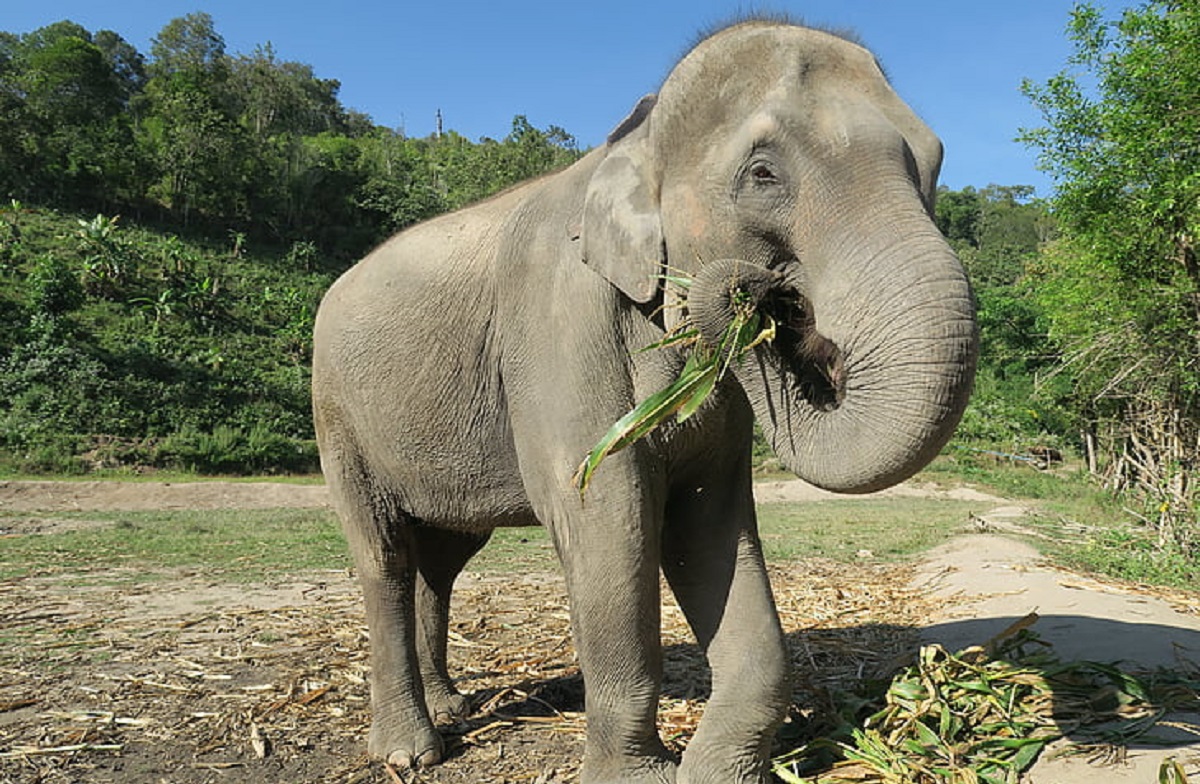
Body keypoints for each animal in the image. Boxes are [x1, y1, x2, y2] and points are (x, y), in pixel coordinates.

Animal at [311, 18, 977, 784]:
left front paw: (716, 771)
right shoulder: (559, 327)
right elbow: (607, 515)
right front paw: (640, 775)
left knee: (442, 559)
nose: (756, 296)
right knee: (385, 555)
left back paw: (449, 707)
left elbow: (707, 523)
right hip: (337, 415)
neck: (636, 135)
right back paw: (410, 750)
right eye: (763, 174)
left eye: (934, 163)